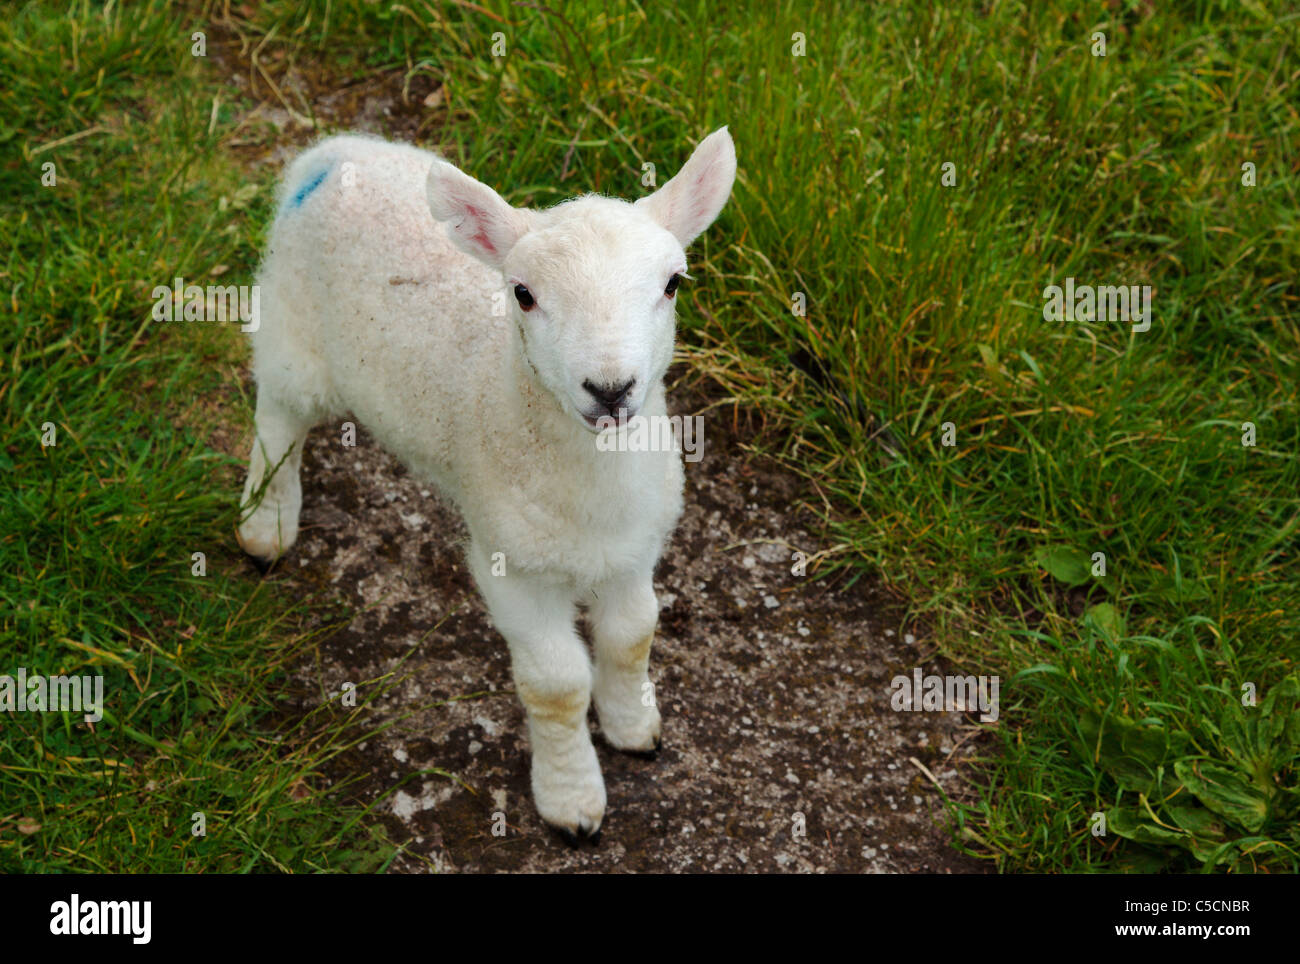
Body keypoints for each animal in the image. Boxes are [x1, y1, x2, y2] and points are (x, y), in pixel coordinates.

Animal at [237, 127, 737, 842]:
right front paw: (571, 800)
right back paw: (266, 526)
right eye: (523, 294)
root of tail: (333, 152)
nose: (610, 389)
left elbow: (633, 635)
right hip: (292, 316)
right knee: (278, 411)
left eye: (672, 284)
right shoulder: (512, 566)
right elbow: (556, 685)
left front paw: (634, 728)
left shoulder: (634, 549)